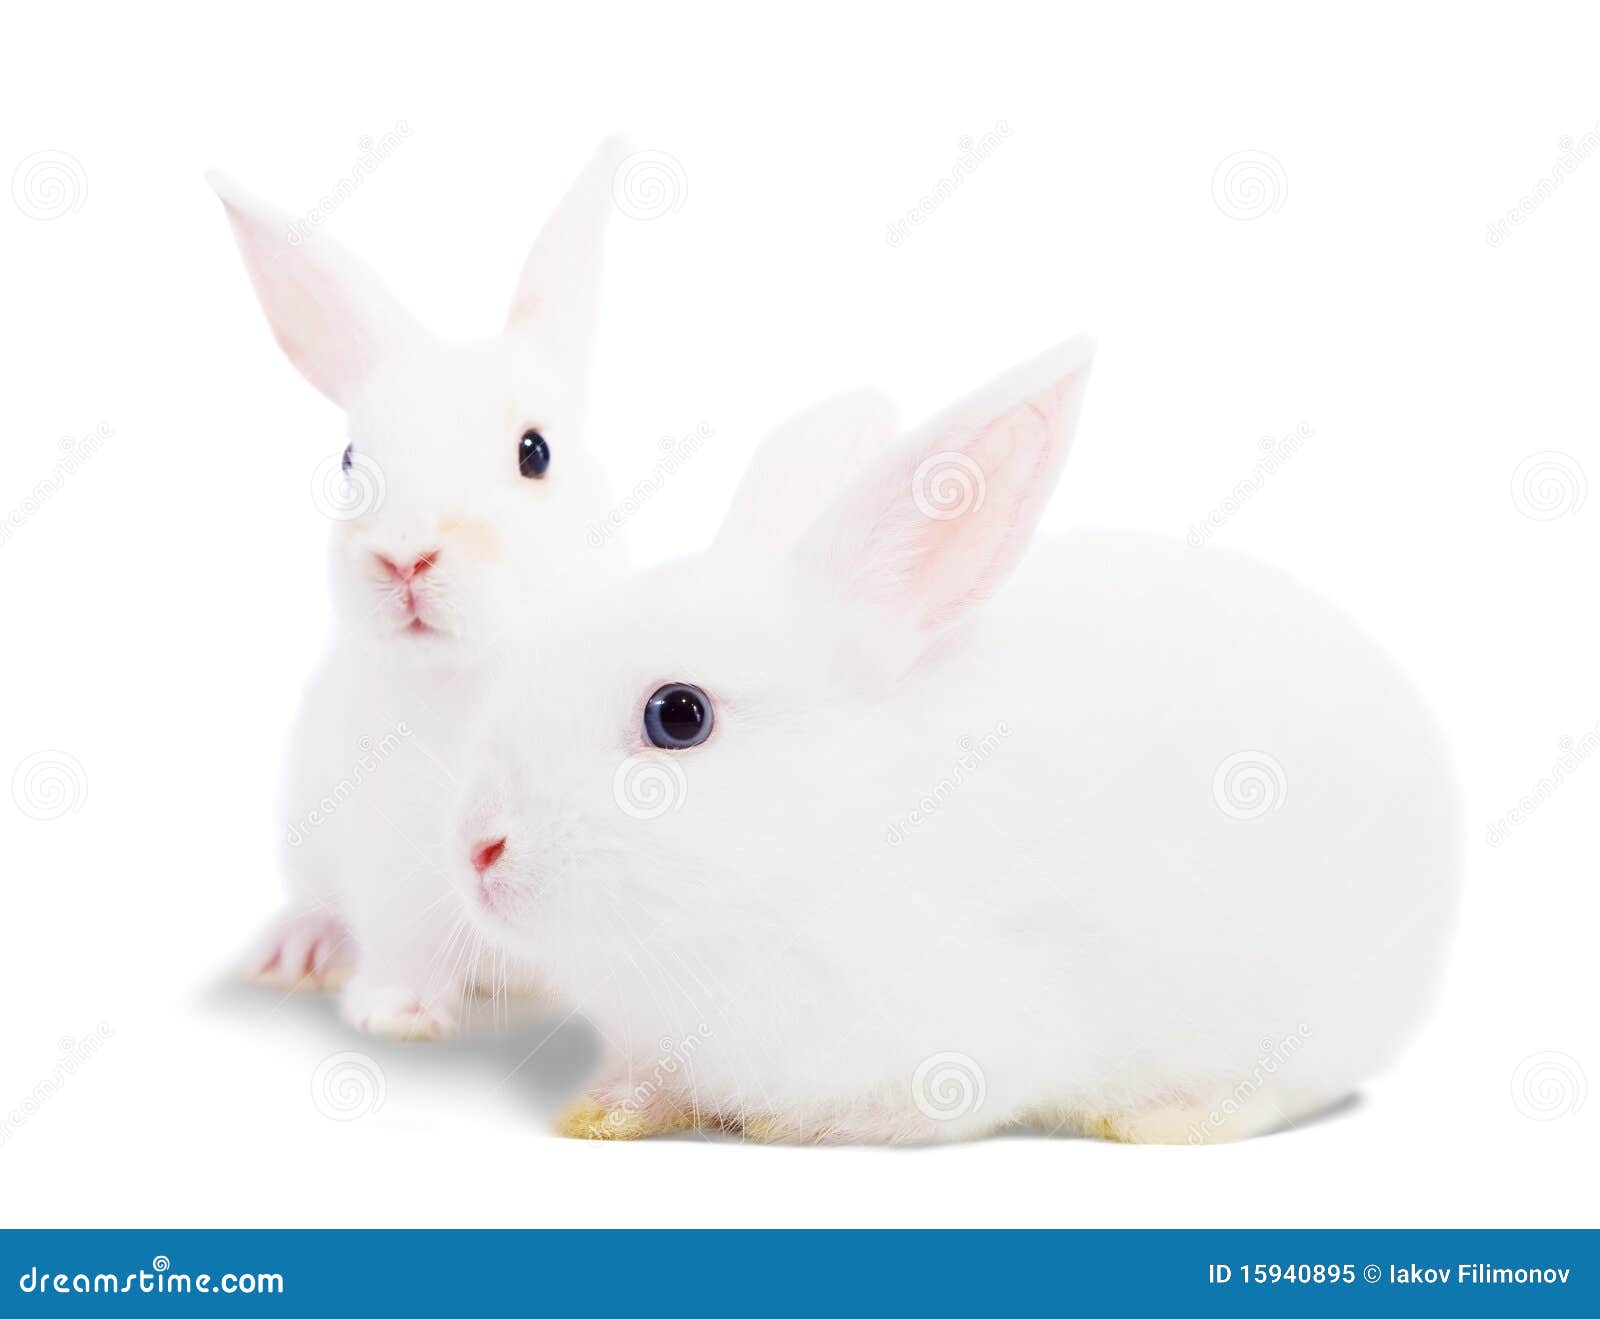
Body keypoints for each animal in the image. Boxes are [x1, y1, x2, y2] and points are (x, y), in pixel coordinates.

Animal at [209, 140, 638, 1039]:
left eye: (535, 451)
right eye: (350, 462)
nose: (405, 556)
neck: (471, 676)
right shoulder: (393, 857)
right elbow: (406, 942)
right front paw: (399, 1013)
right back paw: (297, 949)